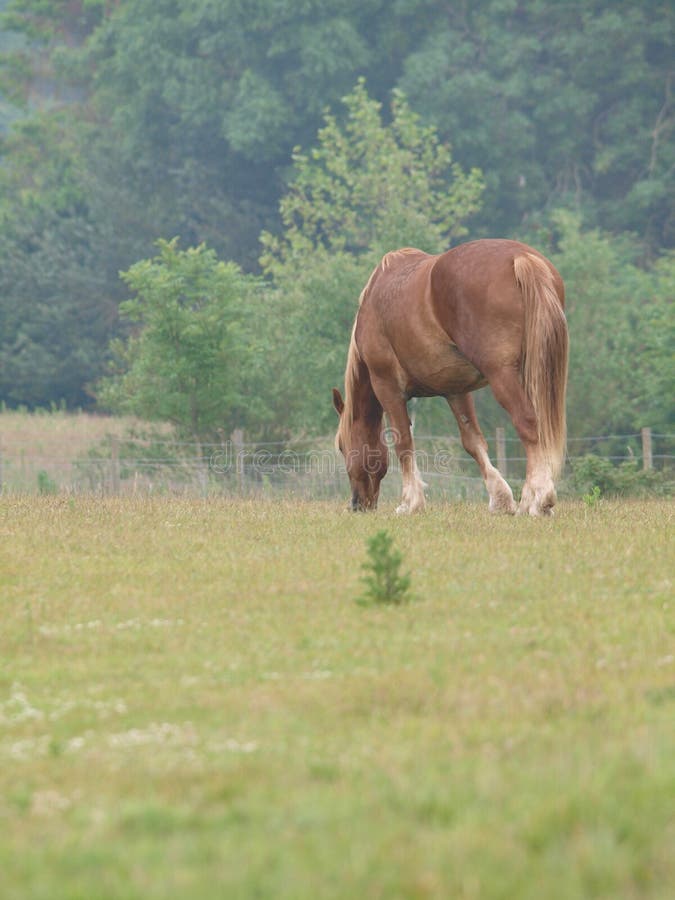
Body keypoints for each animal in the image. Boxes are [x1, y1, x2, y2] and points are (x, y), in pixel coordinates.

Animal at [332, 239, 569, 516]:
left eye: (341, 446)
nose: (357, 503)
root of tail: (521, 258)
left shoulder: (387, 387)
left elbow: (403, 443)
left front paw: (410, 502)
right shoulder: (456, 390)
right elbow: (472, 442)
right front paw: (500, 498)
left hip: (502, 375)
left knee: (527, 422)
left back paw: (538, 499)